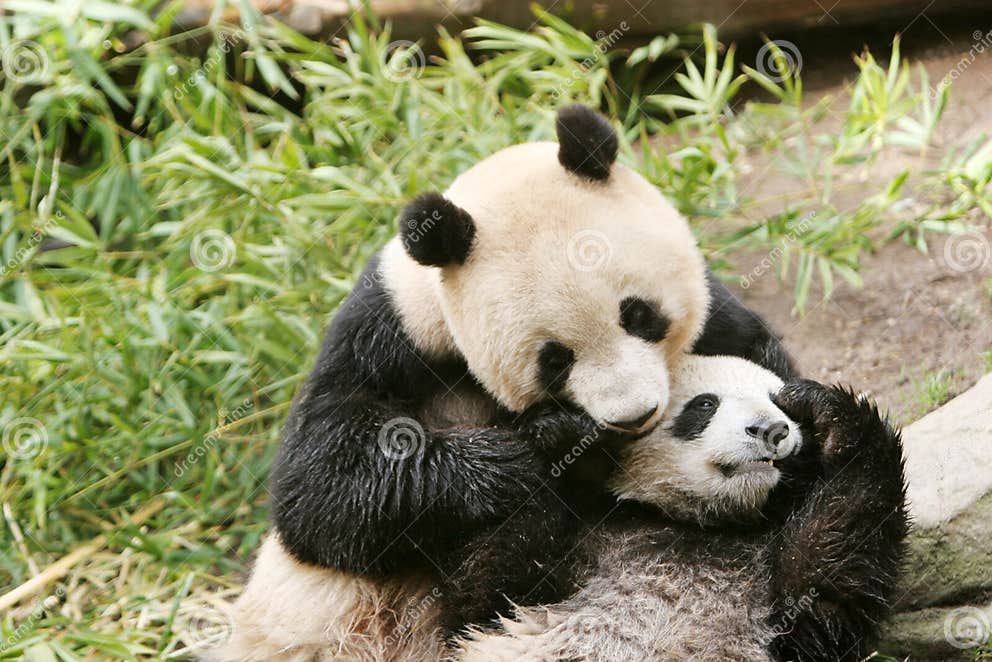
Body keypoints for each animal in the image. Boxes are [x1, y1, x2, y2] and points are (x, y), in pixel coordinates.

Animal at [211, 105, 794, 661]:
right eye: (553, 360)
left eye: (639, 315)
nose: (634, 414)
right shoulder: (387, 331)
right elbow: (319, 488)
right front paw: (528, 453)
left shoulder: (718, 317)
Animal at [454, 354, 909, 662]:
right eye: (705, 405)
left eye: (777, 402)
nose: (771, 429)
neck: (701, 523)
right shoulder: (586, 543)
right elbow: (487, 592)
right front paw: (562, 437)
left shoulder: (779, 602)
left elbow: (830, 584)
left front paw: (831, 413)